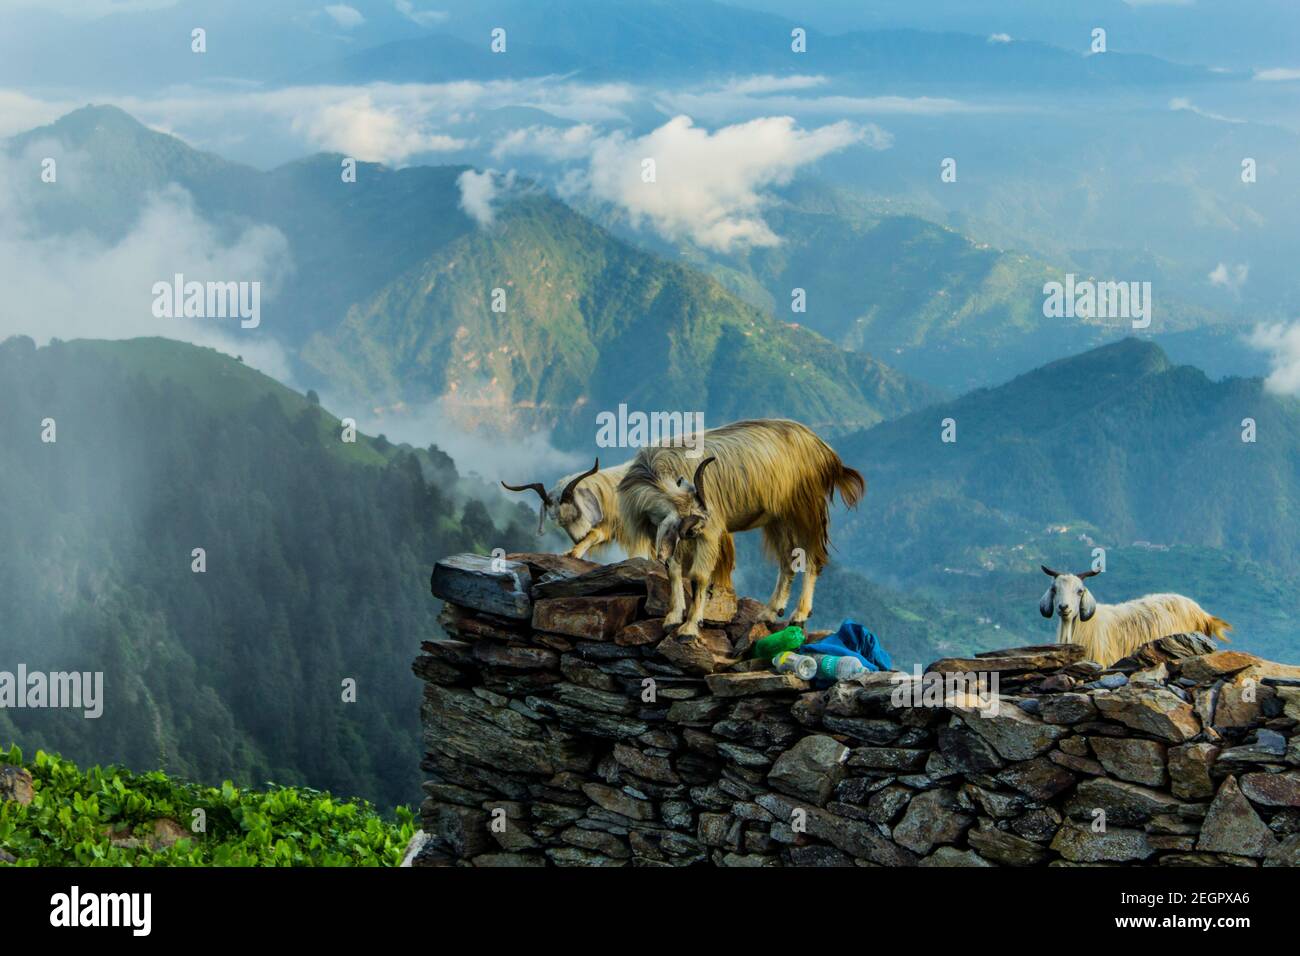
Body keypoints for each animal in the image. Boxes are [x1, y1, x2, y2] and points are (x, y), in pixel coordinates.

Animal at [618, 419, 864, 638]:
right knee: (788, 560)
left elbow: (698, 576)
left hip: (806, 508)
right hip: (778, 518)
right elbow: (673, 570)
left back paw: (799, 615)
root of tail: (824, 450)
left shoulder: (708, 533)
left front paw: (689, 628)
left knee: (813, 557)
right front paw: (672, 617)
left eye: (701, 526)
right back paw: (770, 612)